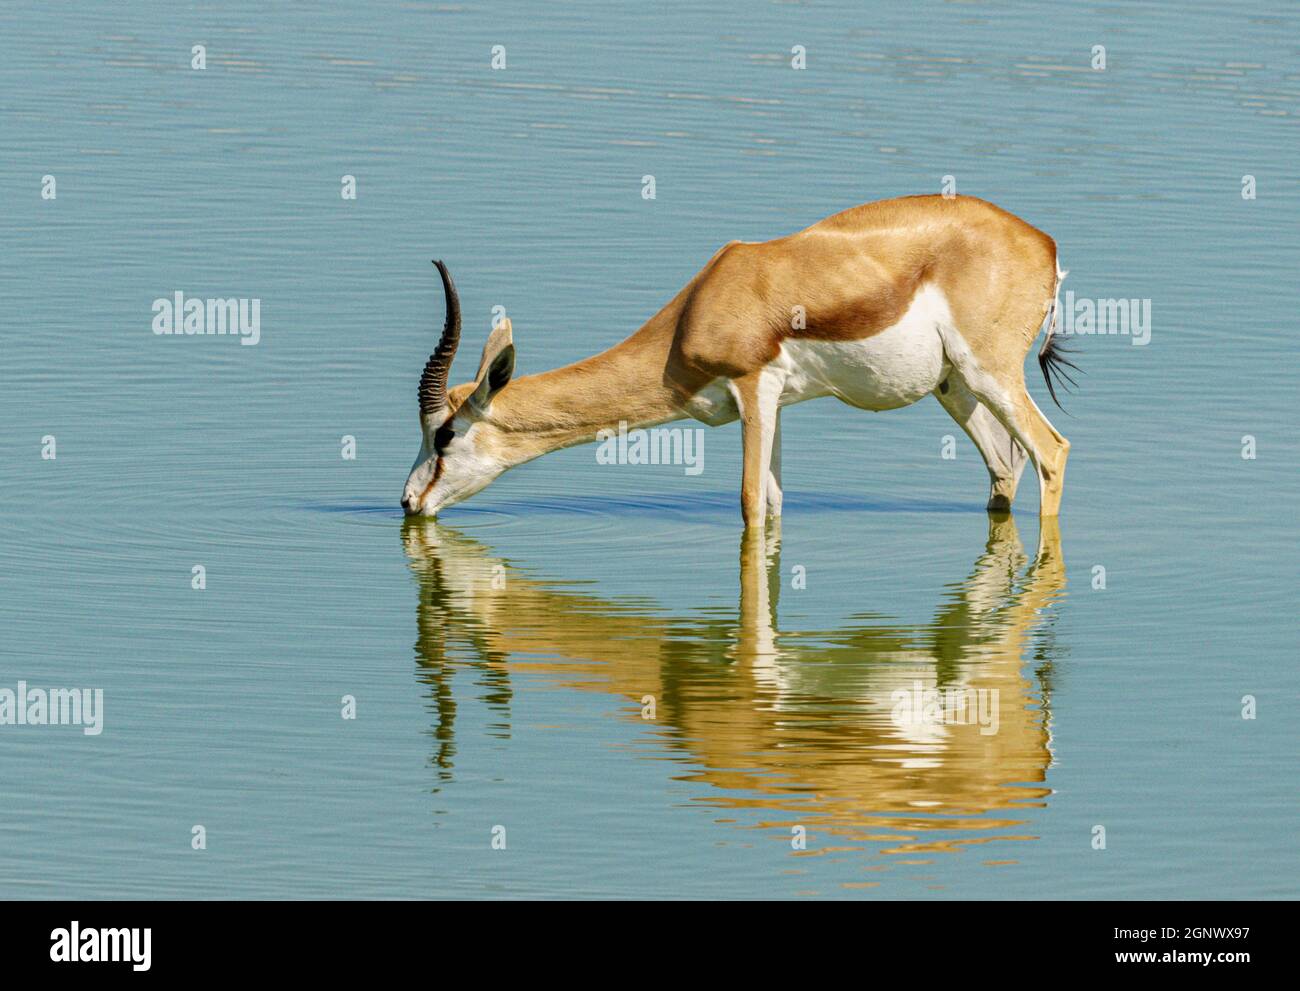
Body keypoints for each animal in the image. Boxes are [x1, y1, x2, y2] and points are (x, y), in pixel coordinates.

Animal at [402, 194, 1077, 525]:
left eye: (444, 434)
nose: (408, 502)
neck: (696, 311)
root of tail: (1045, 245)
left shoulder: (755, 390)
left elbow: (751, 501)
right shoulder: (777, 407)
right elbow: (773, 503)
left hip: (992, 375)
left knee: (1051, 452)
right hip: (955, 387)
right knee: (1006, 466)